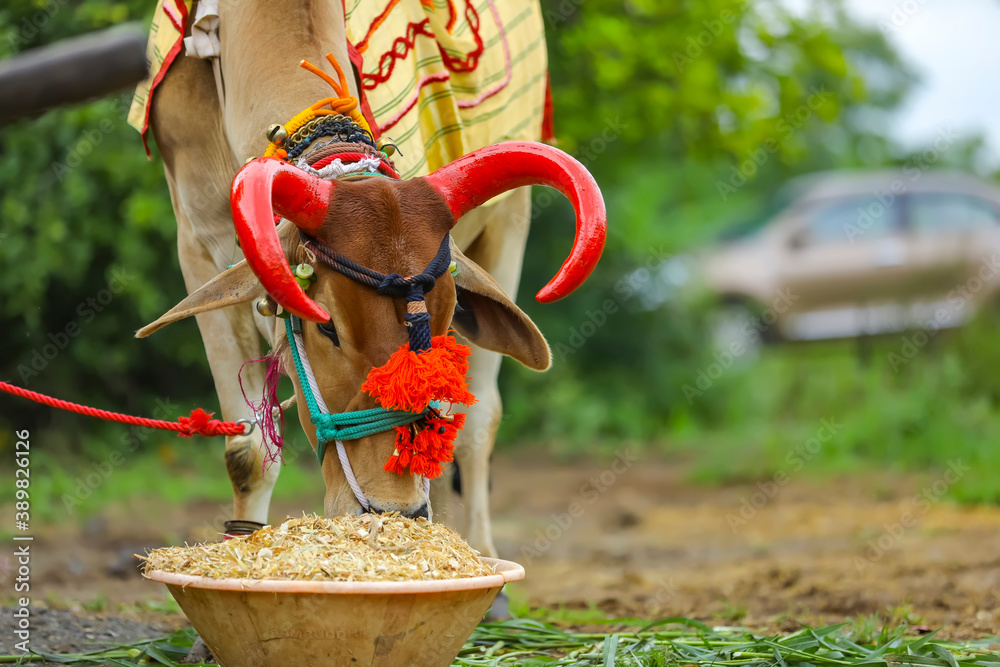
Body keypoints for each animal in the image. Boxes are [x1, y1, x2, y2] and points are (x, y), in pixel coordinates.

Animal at [132, 0, 604, 575]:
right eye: (327, 328)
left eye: (443, 327)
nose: (393, 511)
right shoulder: (196, 241)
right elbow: (247, 453)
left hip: (509, 223)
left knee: (475, 424)